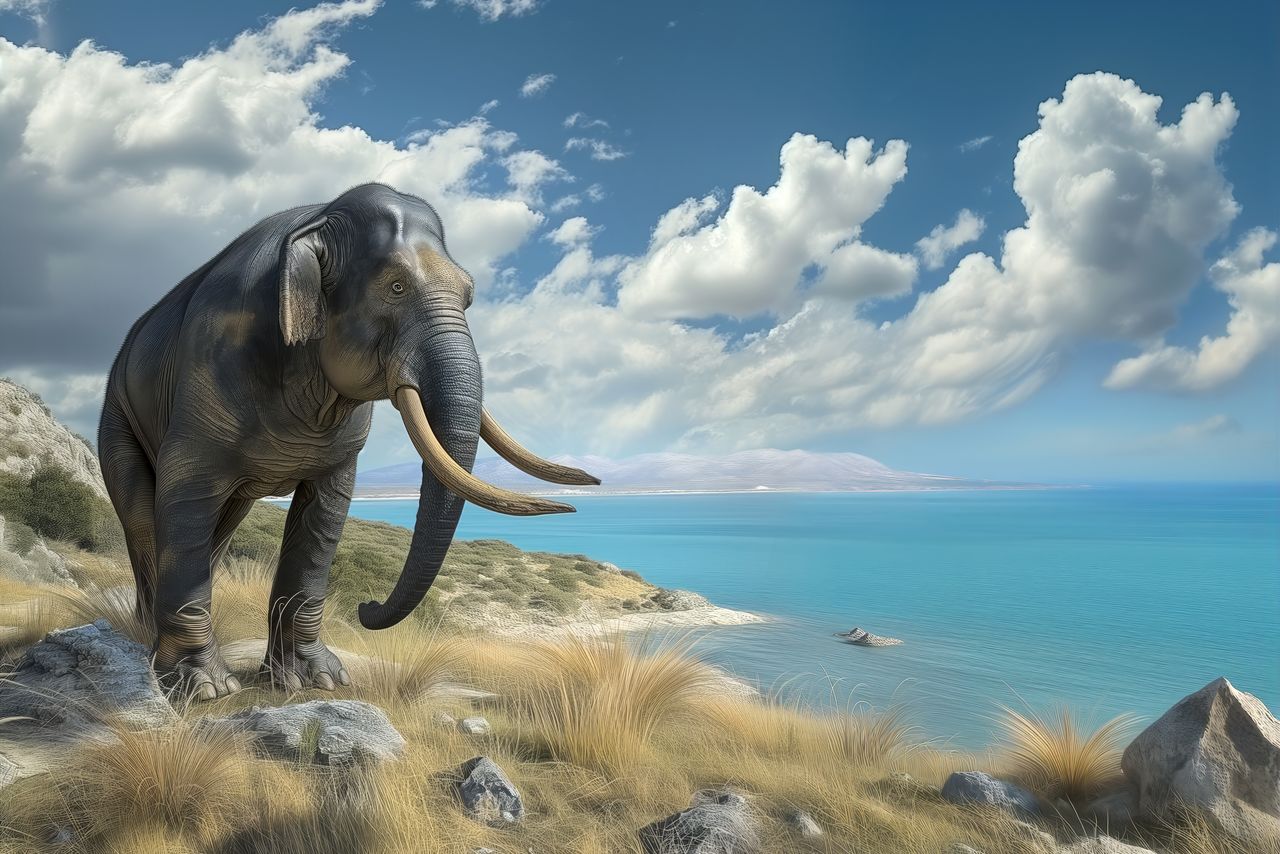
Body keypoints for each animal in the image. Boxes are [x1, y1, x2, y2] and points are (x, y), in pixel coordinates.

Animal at [98, 182, 598, 700]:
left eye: (470, 295)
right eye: (396, 287)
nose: (366, 607)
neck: (318, 221)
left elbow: (325, 512)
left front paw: (314, 681)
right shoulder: (204, 384)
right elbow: (186, 499)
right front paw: (205, 689)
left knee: (222, 525)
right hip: (118, 416)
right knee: (146, 519)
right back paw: (143, 639)